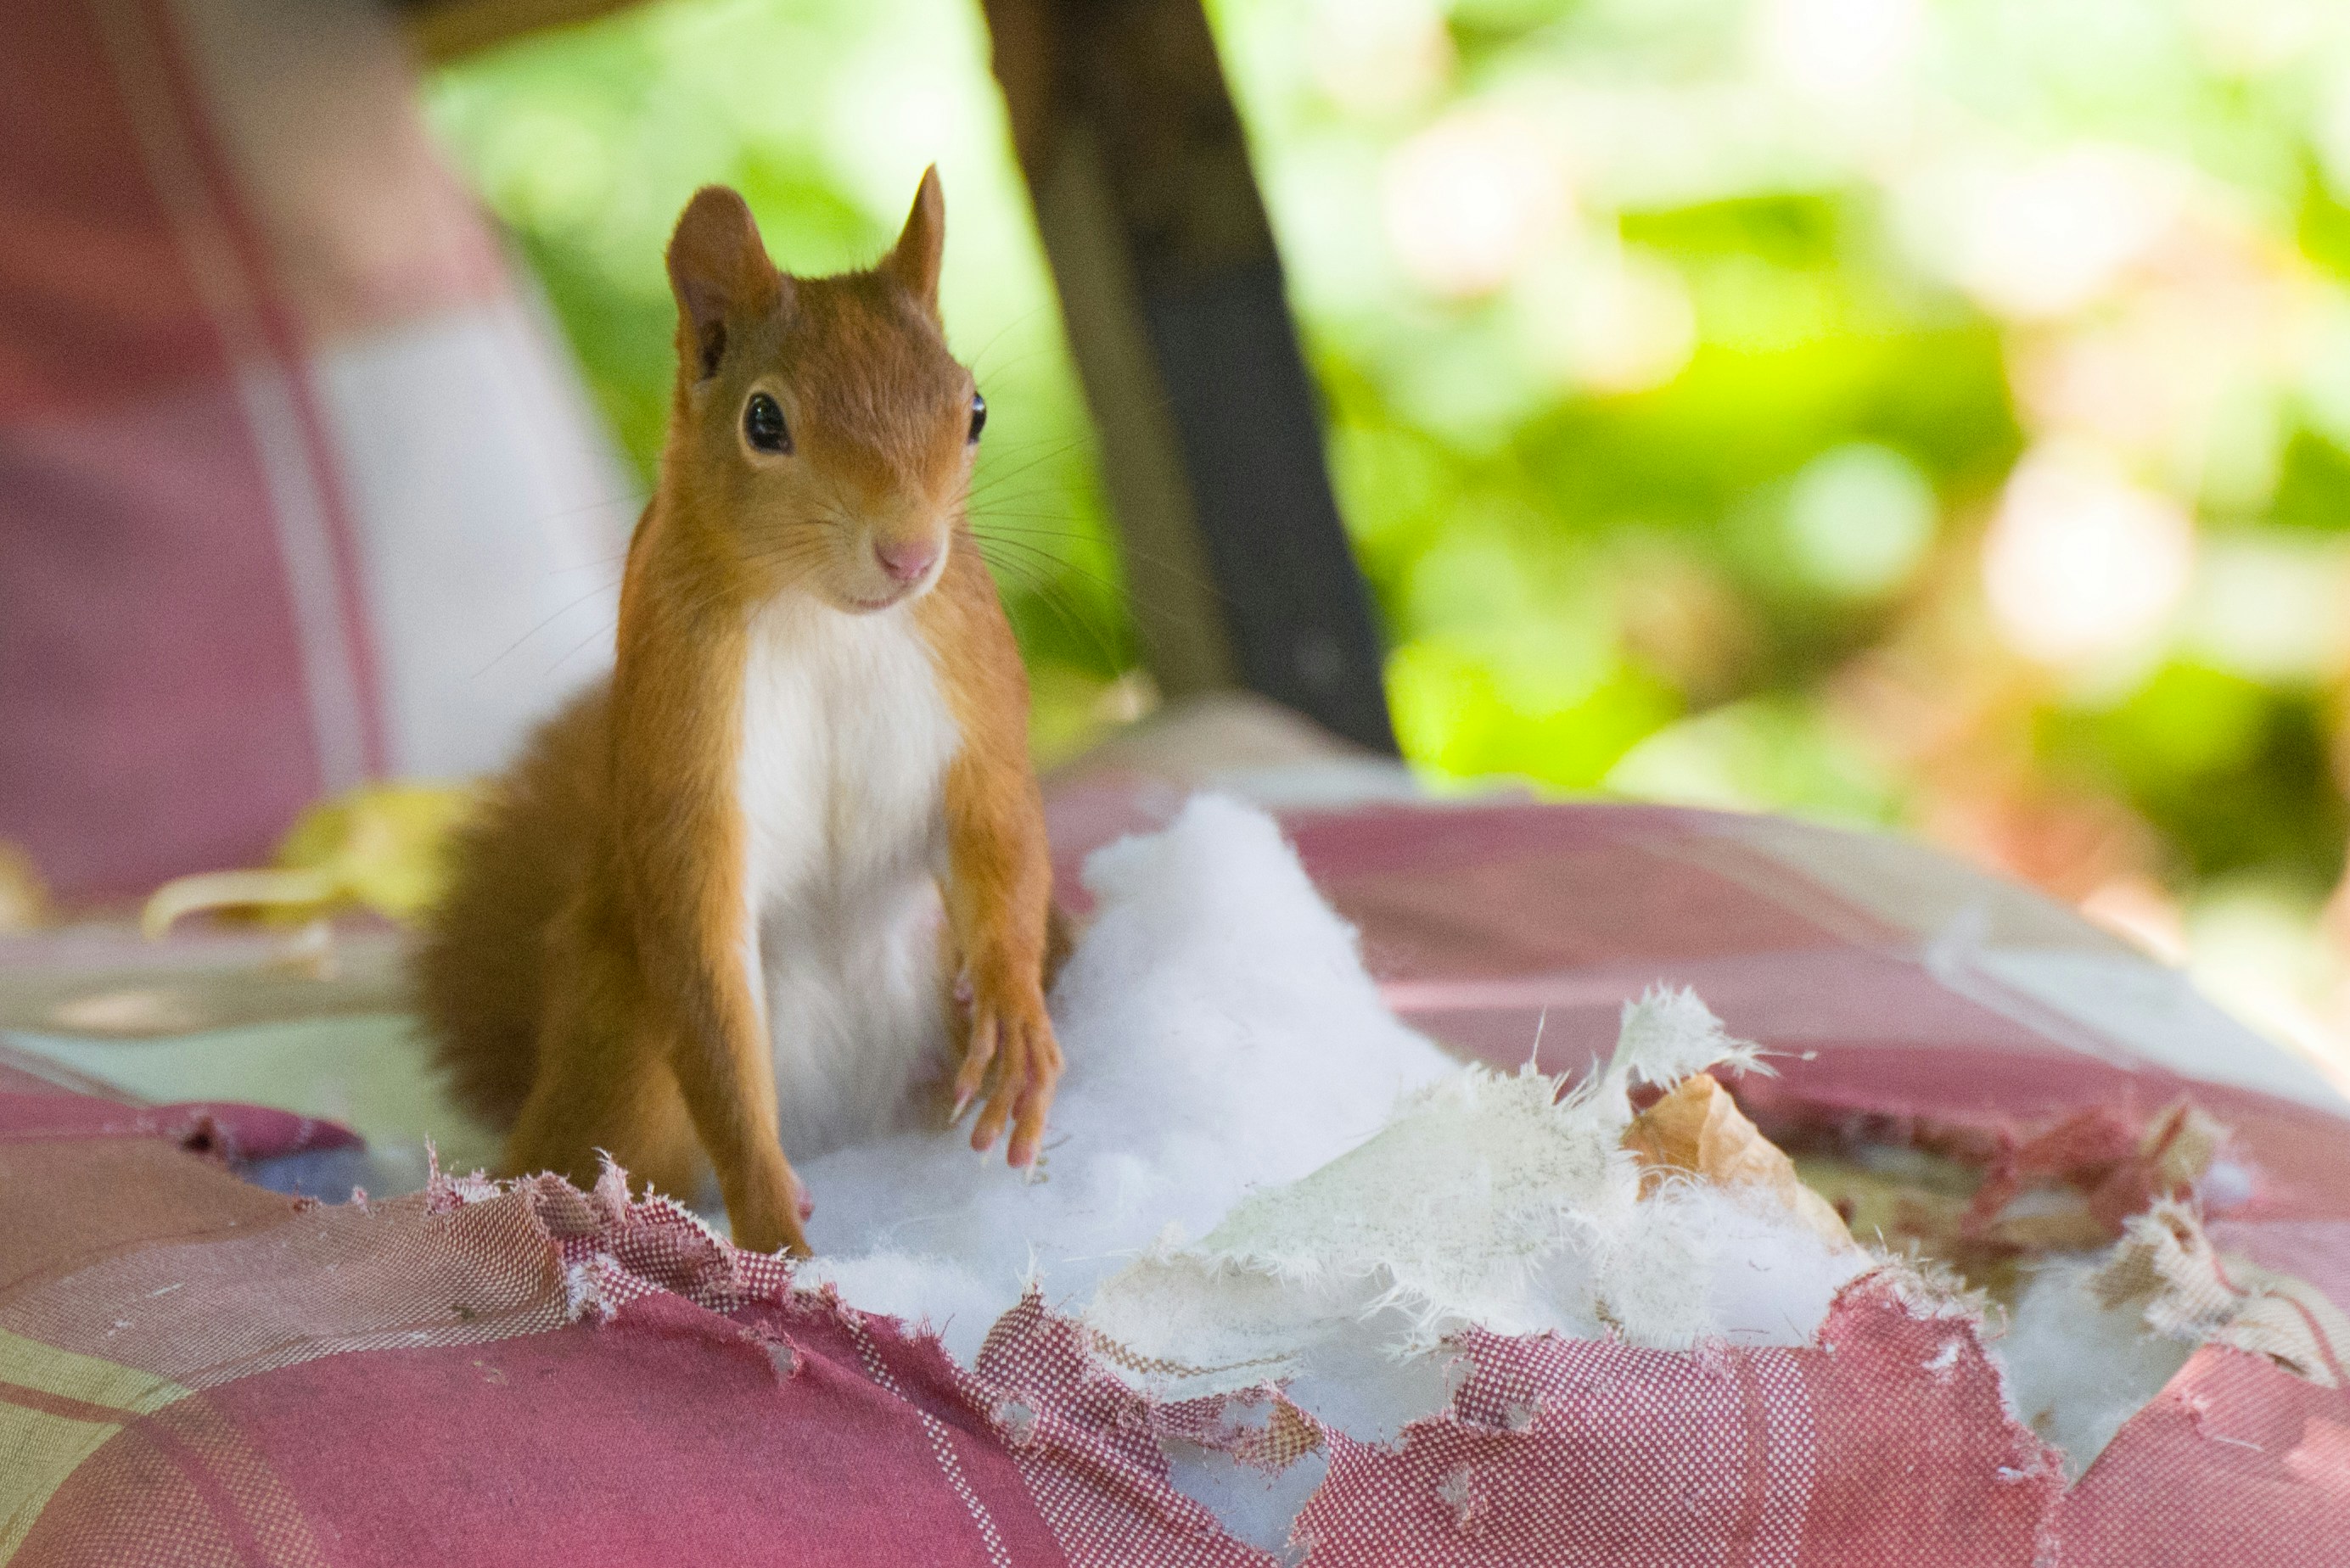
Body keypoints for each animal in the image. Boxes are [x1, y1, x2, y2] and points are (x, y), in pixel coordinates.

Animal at [414, 171, 1064, 1256]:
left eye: (972, 408)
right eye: (764, 422)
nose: (910, 554)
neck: (822, 618)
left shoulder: (973, 694)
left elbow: (1001, 837)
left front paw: (1017, 1013)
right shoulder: (685, 751)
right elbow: (709, 984)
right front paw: (774, 1232)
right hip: (627, 1067)